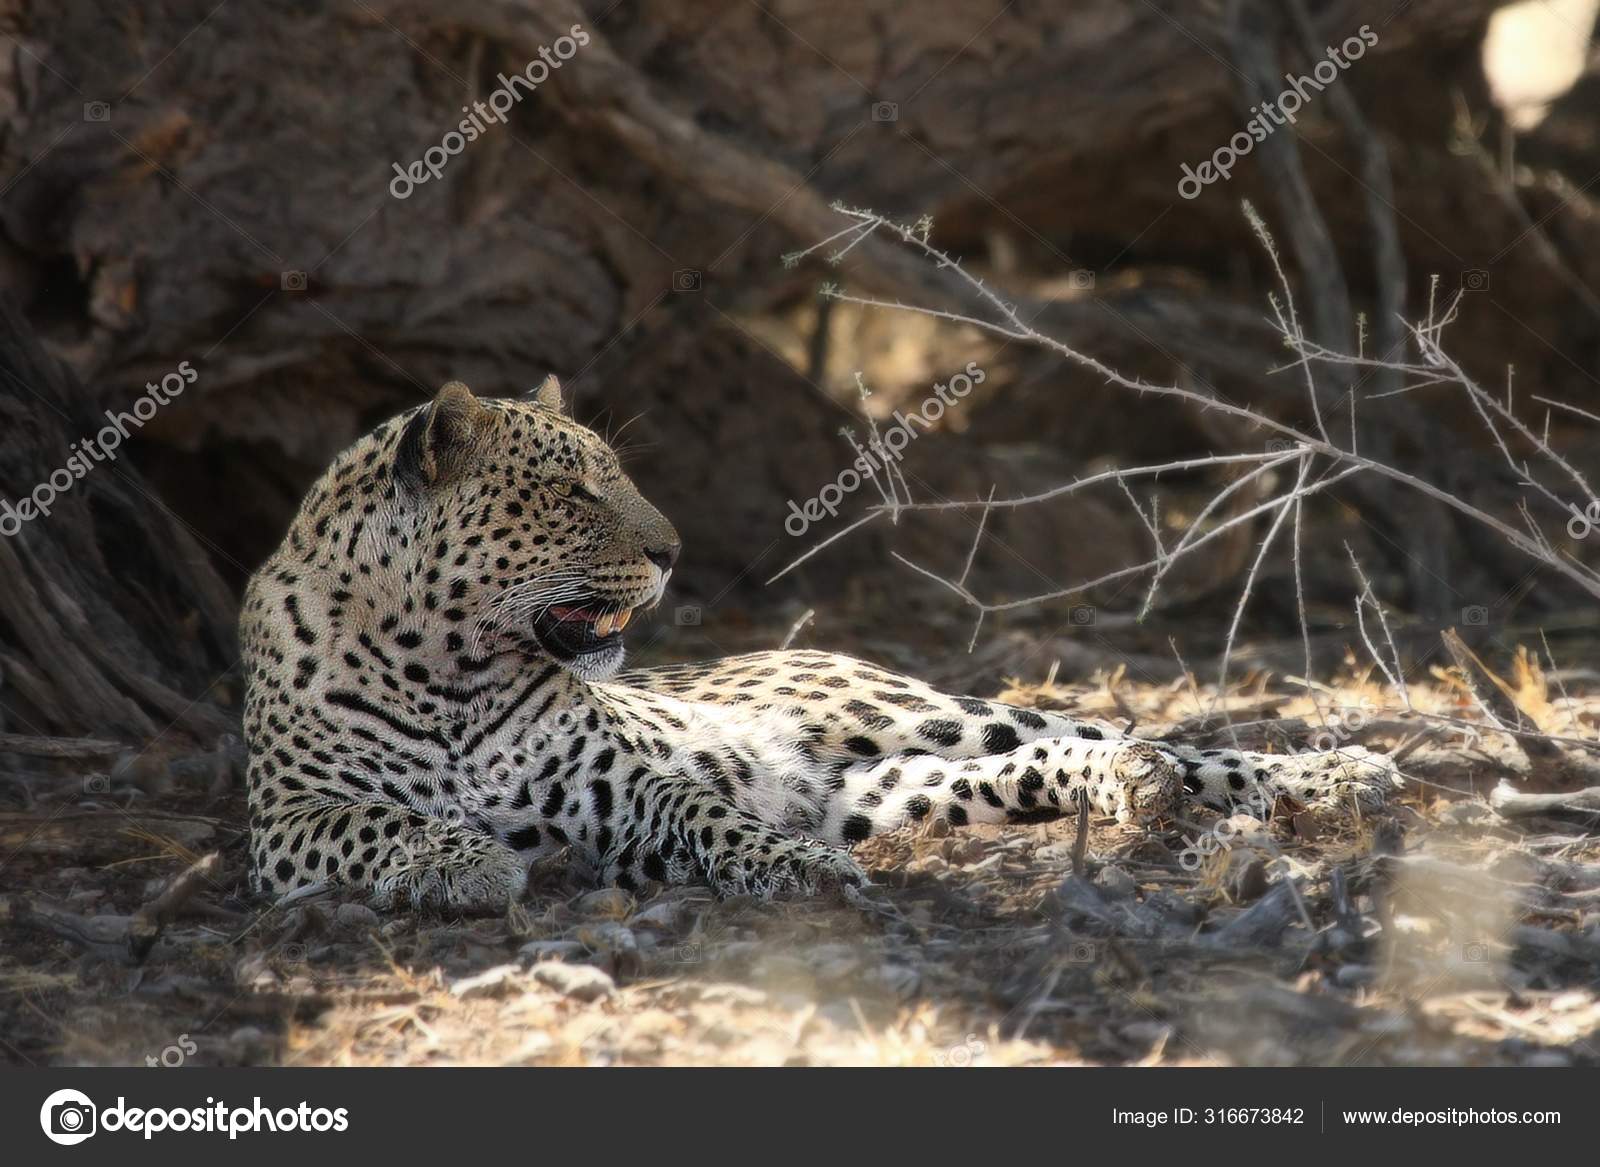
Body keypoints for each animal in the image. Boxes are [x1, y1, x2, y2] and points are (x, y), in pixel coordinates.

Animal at [242, 378, 1402, 910]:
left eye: (614, 475)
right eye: (573, 493)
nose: (672, 551)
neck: (450, 668)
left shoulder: (625, 782)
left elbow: (705, 811)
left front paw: (791, 865)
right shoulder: (282, 822)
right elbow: (375, 822)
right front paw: (462, 859)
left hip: (914, 707)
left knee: (1141, 736)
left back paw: (1338, 772)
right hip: (889, 788)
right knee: (1045, 763)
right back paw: (1131, 785)